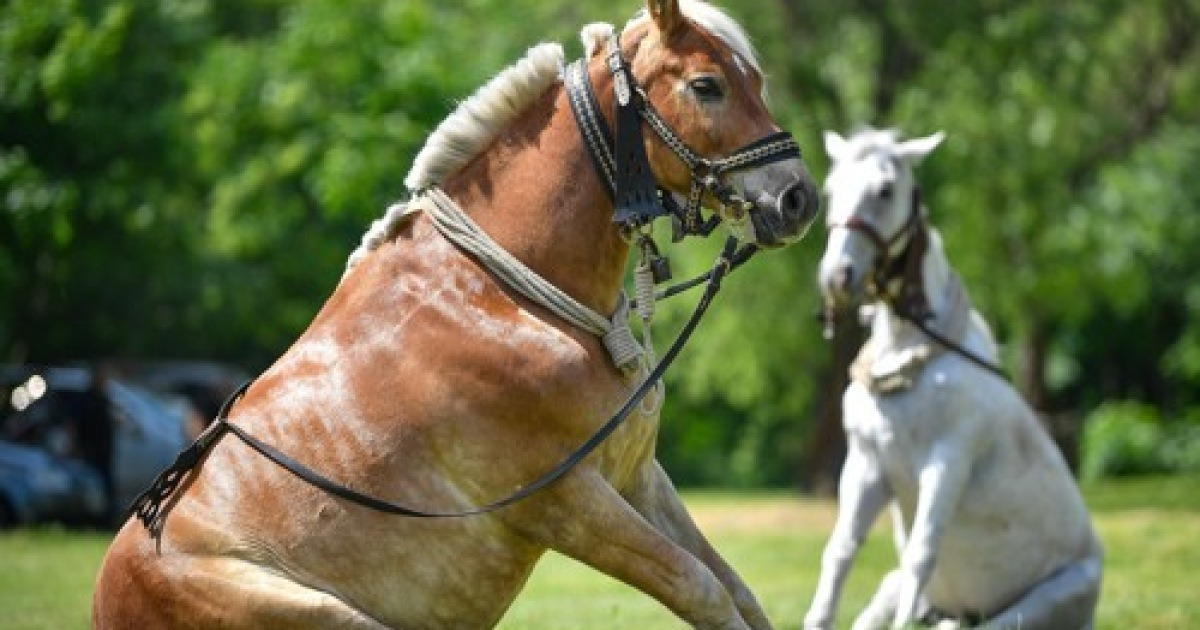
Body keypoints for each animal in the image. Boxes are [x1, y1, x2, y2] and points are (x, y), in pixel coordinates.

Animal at [93, 2, 820, 628]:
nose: (797, 199)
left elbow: (735, 589)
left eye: (754, 78)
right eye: (707, 85)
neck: (498, 299)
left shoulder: (637, 477)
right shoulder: (566, 502)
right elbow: (703, 590)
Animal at [803, 129, 1102, 630]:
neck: (908, 359)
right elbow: (840, 551)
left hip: (1041, 604)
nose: (837, 276)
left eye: (885, 190)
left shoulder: (948, 460)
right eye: (830, 188)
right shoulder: (866, 466)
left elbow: (923, 551)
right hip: (894, 587)